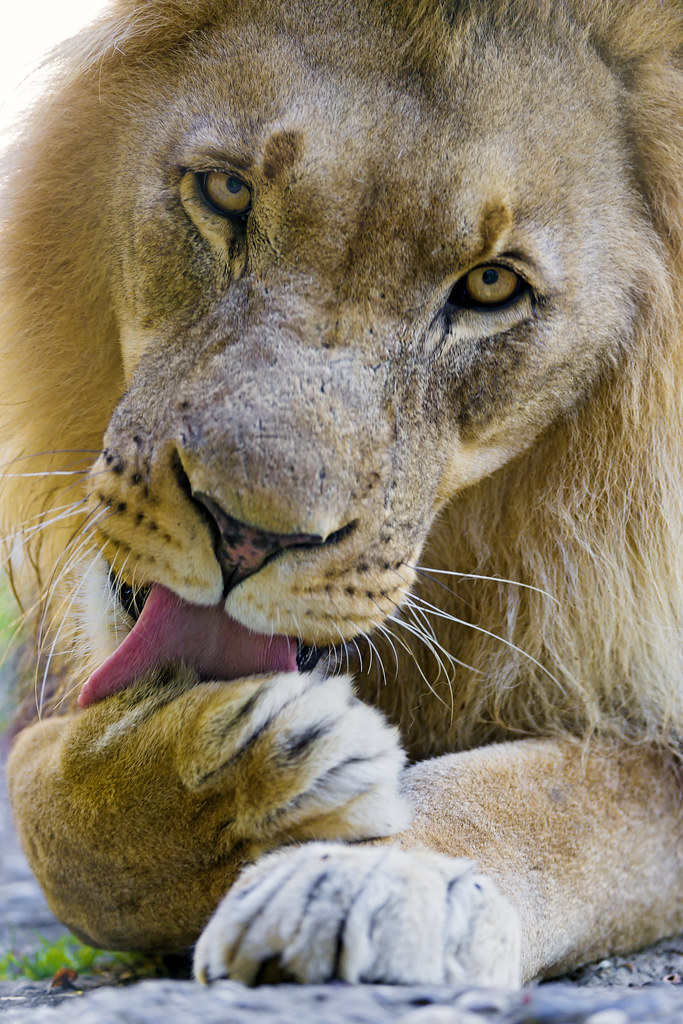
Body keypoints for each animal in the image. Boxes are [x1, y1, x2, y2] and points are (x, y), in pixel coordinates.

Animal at [1, 0, 681, 989]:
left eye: (490, 286)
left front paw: (371, 885)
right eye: (227, 193)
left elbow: (566, 801)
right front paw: (225, 771)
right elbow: (47, 809)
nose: (245, 535)